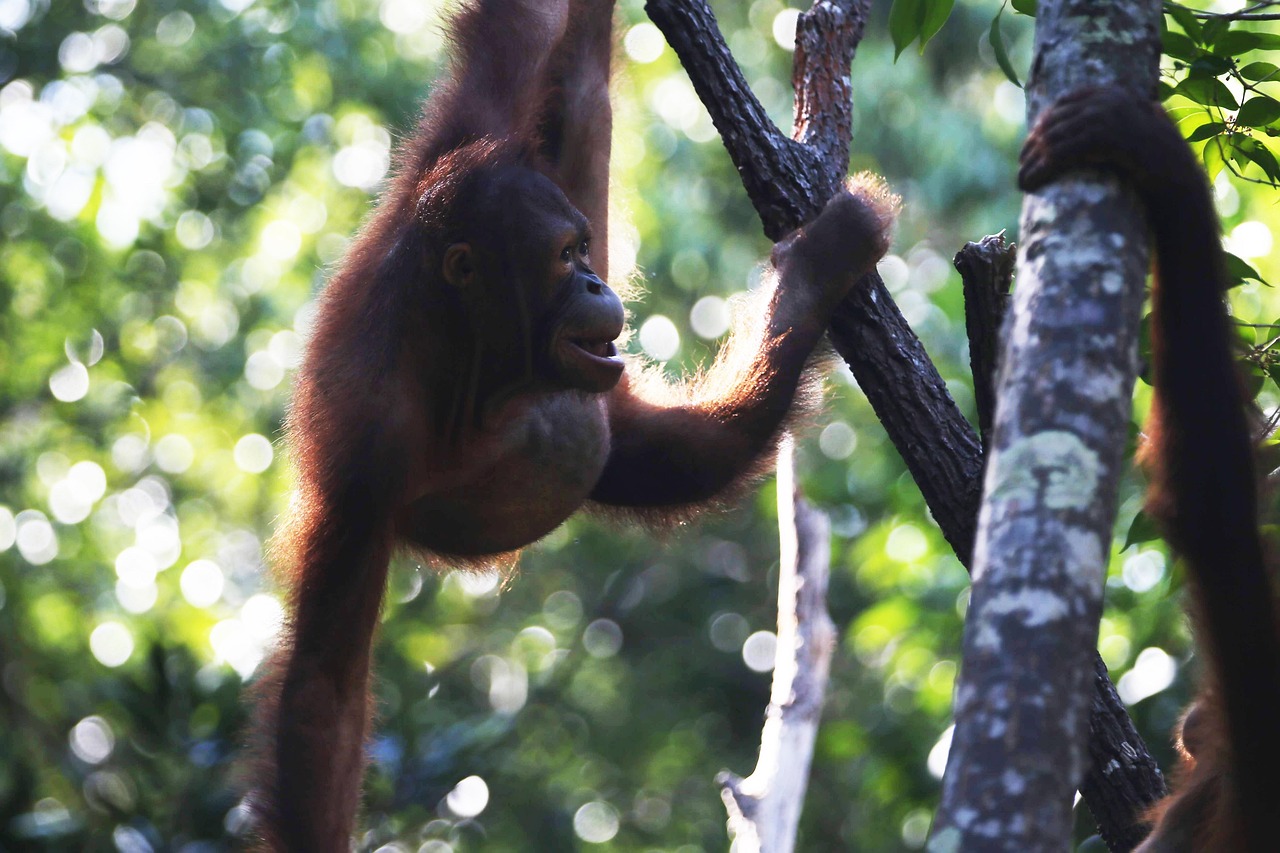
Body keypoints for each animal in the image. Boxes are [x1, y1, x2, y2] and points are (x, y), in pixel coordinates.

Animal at [247, 0, 898, 849]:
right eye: (562, 255)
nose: (594, 280)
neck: (458, 332)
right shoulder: (371, 443)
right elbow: (322, 688)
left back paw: (815, 273)